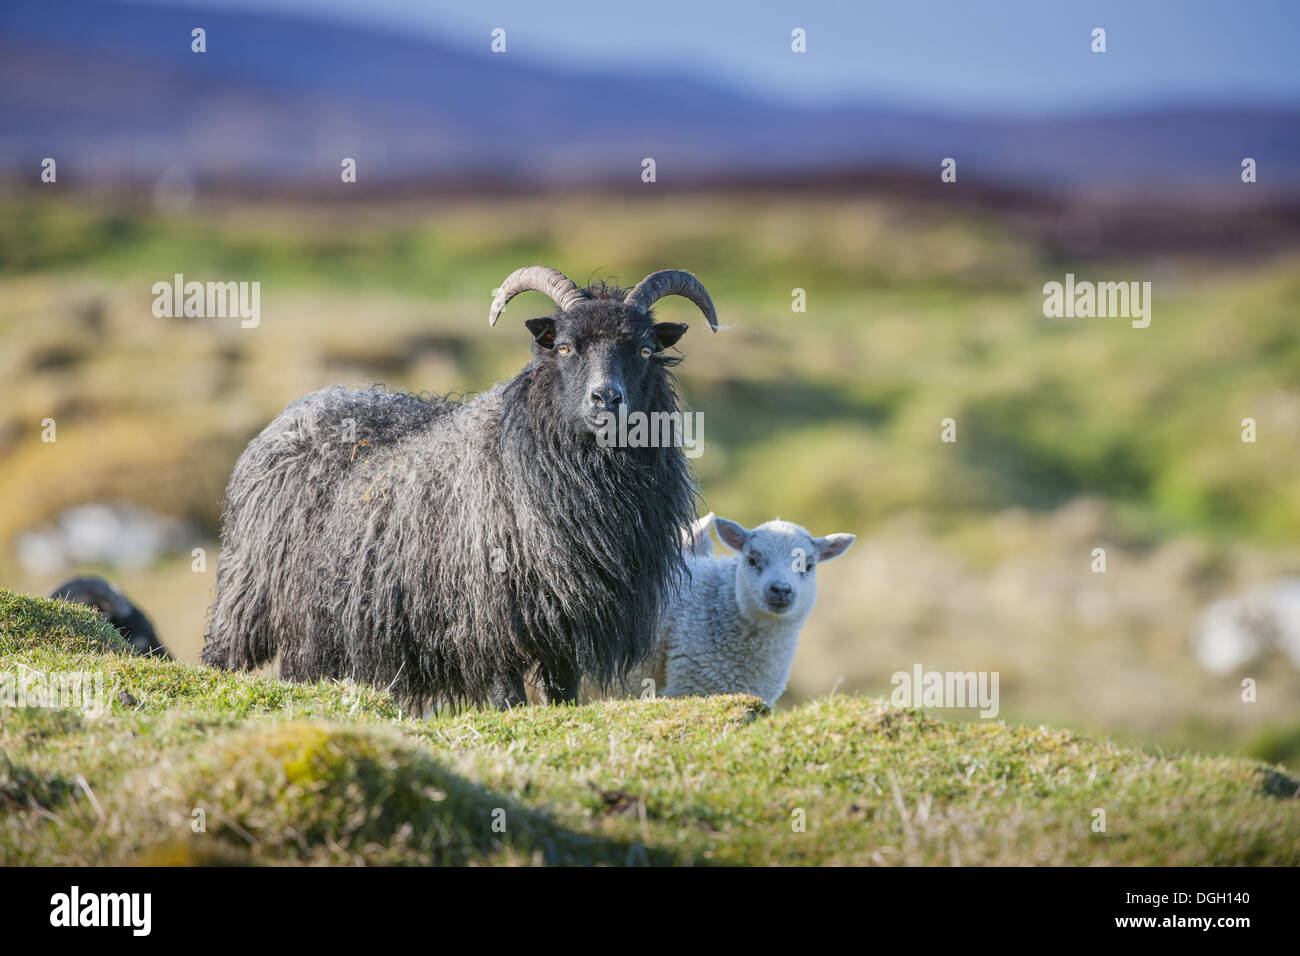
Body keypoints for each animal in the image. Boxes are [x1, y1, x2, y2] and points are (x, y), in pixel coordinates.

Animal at [201, 266, 717, 710]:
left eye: (645, 350)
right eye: (566, 348)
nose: (606, 399)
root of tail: (302, 406)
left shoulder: (567, 623)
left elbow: (562, 695)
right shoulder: (486, 619)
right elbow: (507, 699)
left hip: (313, 624)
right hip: (247, 594)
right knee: (221, 655)